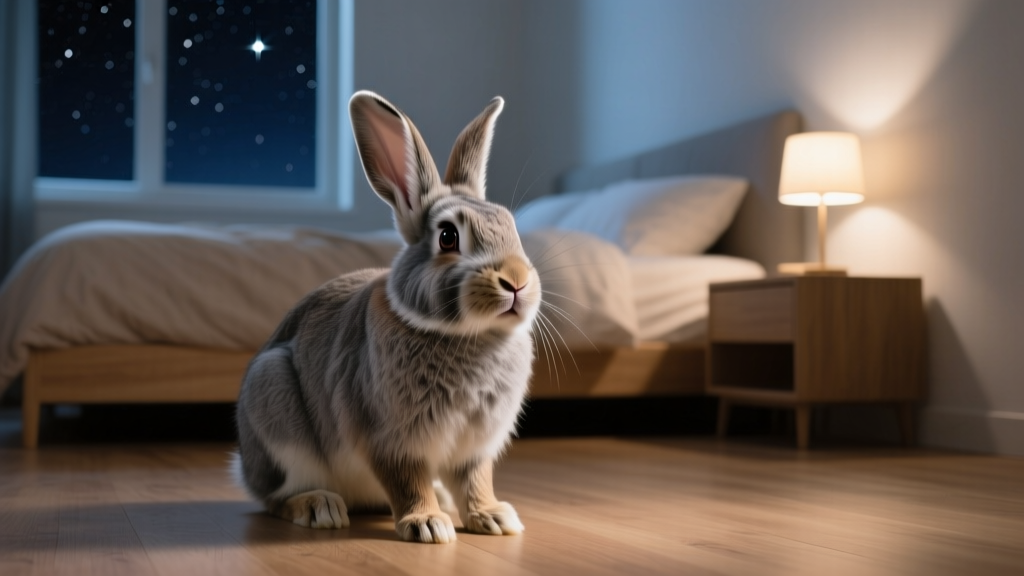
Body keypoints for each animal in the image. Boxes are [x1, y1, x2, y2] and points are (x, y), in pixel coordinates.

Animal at [232, 90, 541, 544]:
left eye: (511, 227)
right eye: (448, 236)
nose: (517, 282)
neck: (467, 336)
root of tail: (245, 469)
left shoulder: (475, 447)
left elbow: (475, 480)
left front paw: (494, 518)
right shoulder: (390, 439)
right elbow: (407, 481)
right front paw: (427, 525)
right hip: (274, 407)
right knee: (275, 498)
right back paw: (321, 507)